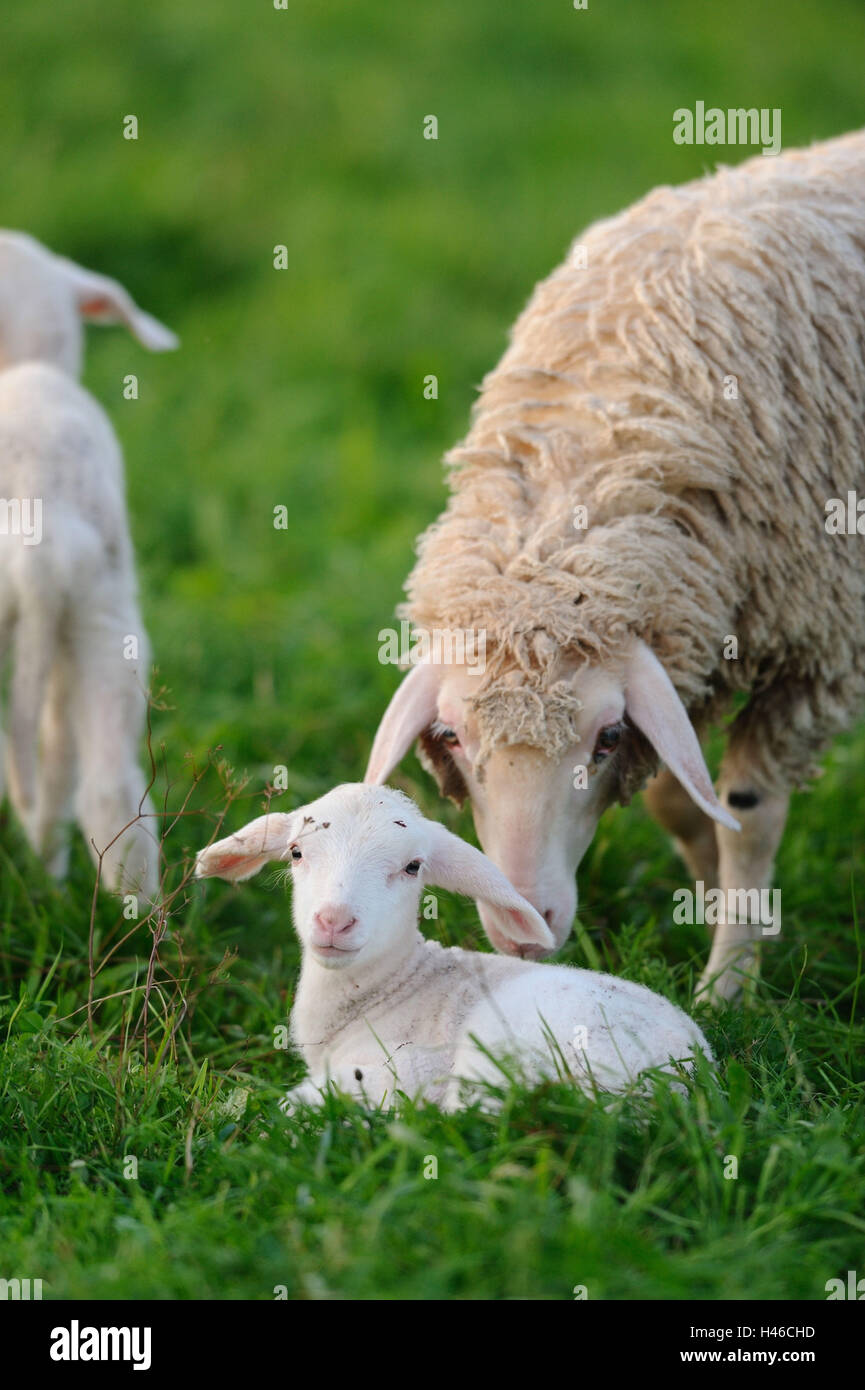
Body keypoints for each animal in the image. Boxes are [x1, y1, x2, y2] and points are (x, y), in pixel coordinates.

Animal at [365, 130, 865, 1006]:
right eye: (451, 737)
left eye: (601, 739)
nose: (522, 930)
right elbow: (675, 795)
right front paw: (708, 896)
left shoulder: (816, 654)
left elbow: (748, 813)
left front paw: (728, 980)